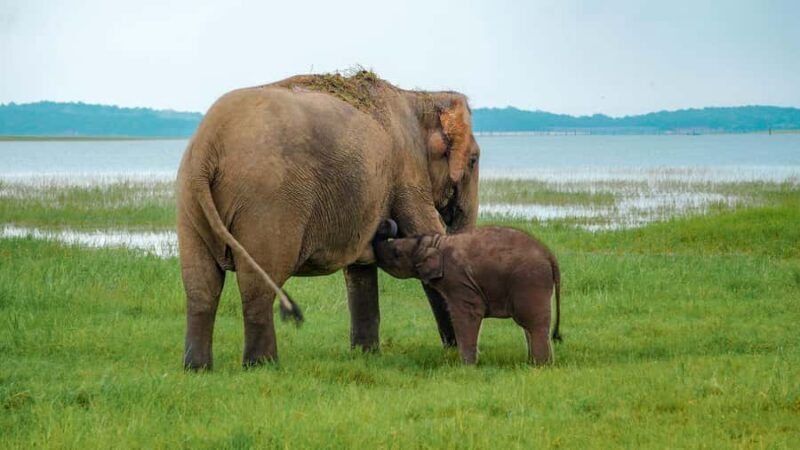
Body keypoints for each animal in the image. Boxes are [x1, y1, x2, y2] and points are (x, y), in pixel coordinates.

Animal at [176, 71, 480, 369]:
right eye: (474, 160)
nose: (385, 226)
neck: (420, 98)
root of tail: (207, 144)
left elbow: (360, 269)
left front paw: (365, 355)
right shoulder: (407, 171)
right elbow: (427, 236)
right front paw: (457, 352)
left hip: (189, 200)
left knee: (201, 286)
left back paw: (197, 368)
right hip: (266, 203)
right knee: (258, 285)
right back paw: (262, 365)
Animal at [373, 221, 562, 365]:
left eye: (396, 253)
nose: (383, 223)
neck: (435, 242)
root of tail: (550, 255)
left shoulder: (458, 278)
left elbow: (467, 313)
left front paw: (466, 366)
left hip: (530, 281)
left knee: (532, 323)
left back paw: (540, 366)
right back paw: (533, 363)